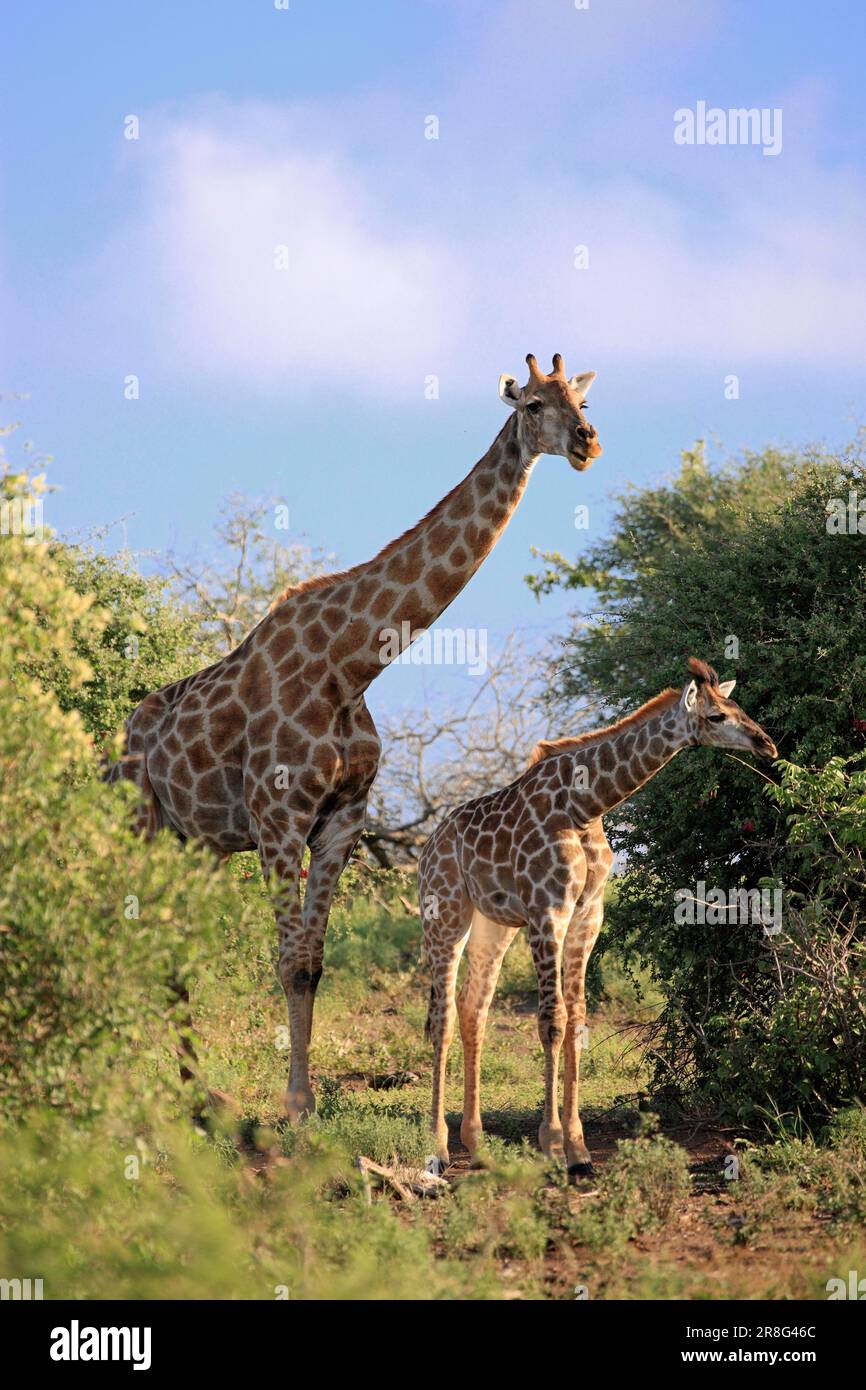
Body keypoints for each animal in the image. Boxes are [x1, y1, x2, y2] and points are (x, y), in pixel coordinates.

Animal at [111, 353, 601, 1121]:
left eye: (581, 400)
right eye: (531, 405)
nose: (586, 442)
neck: (351, 664)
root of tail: (120, 740)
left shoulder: (341, 820)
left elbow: (314, 963)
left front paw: (302, 1099)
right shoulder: (280, 820)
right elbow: (290, 962)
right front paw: (296, 1105)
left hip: (199, 845)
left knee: (171, 942)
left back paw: (199, 1094)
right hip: (142, 825)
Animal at [419, 658, 776, 1176]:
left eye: (739, 707)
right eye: (716, 717)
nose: (767, 744)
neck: (586, 805)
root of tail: (426, 849)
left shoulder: (588, 915)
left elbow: (578, 1021)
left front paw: (579, 1151)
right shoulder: (548, 909)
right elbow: (552, 1021)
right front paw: (551, 1145)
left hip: (494, 925)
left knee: (473, 1009)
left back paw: (478, 1144)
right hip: (444, 913)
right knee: (442, 1016)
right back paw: (438, 1148)